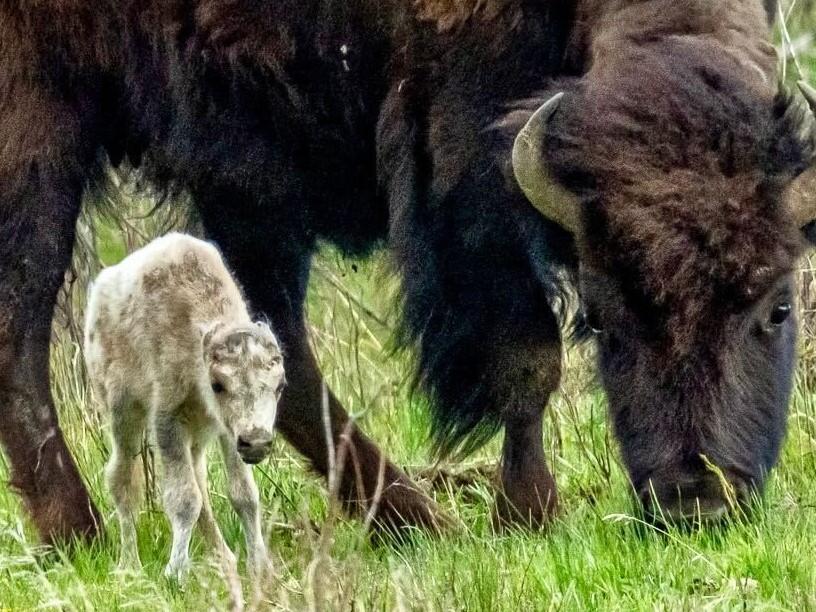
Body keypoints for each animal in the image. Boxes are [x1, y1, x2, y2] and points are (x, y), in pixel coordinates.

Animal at [1, 0, 815, 543]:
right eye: (601, 319)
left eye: (778, 307)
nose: (696, 503)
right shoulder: (463, 149)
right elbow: (529, 359)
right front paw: (529, 515)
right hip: (40, 130)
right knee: (21, 329)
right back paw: (78, 531)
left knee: (272, 345)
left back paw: (411, 518)